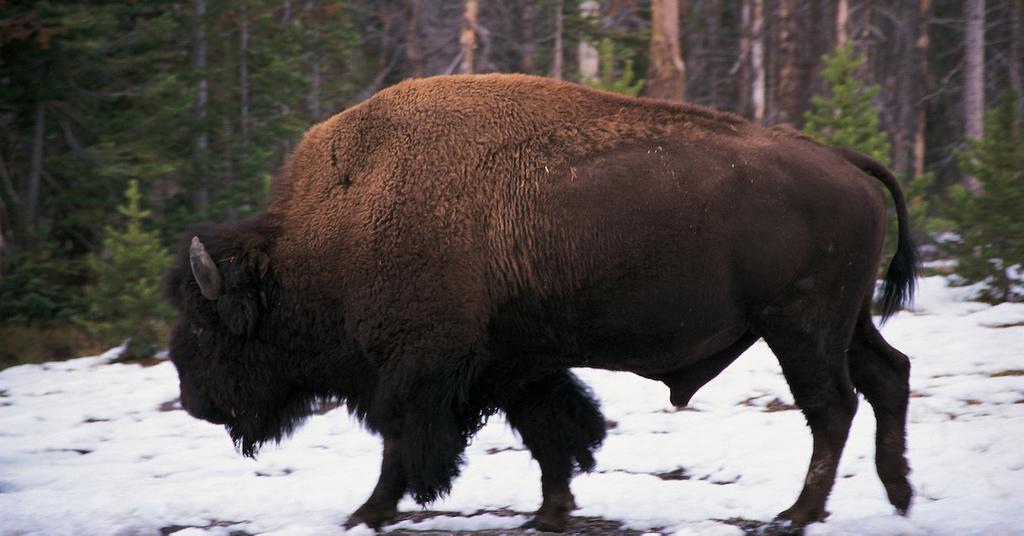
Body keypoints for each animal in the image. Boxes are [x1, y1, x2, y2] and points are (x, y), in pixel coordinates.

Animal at [166, 74, 916, 532]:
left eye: (206, 328)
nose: (198, 404)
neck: (335, 225)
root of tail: (845, 160)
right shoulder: (514, 363)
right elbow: (553, 432)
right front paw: (549, 514)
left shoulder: (419, 369)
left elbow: (402, 446)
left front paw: (366, 513)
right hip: (844, 321)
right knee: (888, 376)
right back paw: (898, 493)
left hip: (800, 327)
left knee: (832, 406)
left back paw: (798, 514)